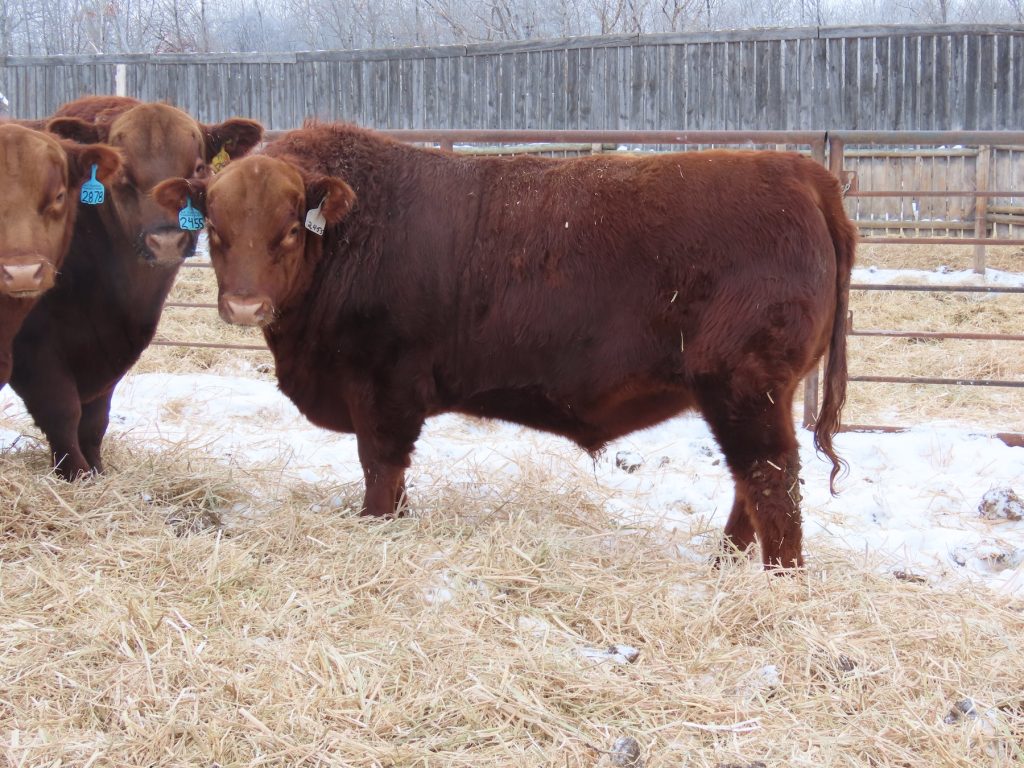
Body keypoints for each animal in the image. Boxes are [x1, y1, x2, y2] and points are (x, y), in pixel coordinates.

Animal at [154, 123, 856, 568]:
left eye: (290, 229)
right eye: (214, 226)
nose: (245, 305)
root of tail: (798, 170)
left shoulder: (383, 387)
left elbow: (381, 471)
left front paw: (377, 529)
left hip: (747, 384)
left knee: (771, 478)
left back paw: (778, 580)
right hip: (748, 393)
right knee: (750, 480)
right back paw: (724, 566)